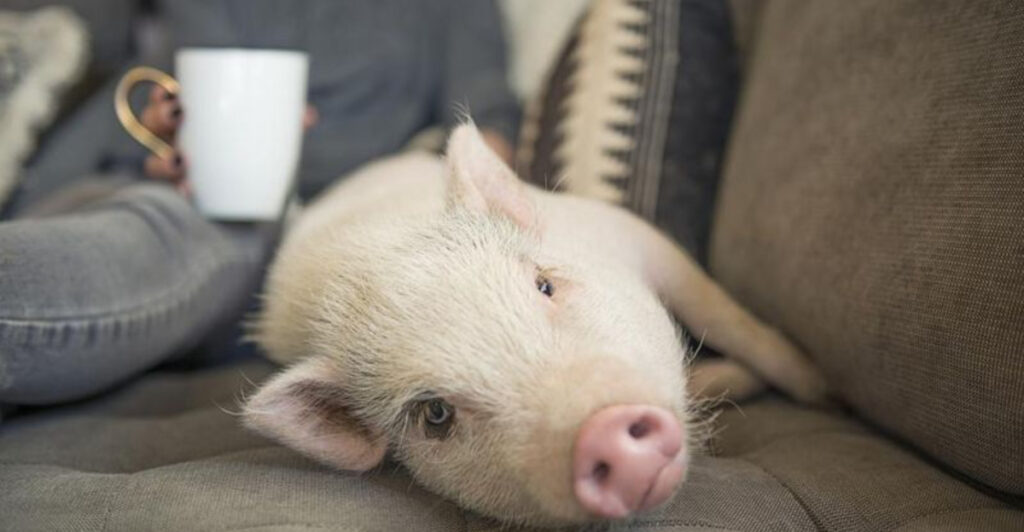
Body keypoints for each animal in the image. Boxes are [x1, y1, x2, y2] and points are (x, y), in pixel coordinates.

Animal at [243, 123, 827, 527]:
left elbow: (724, 316)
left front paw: (817, 387)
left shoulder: (641, 238)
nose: (604, 434)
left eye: (543, 284)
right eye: (435, 414)